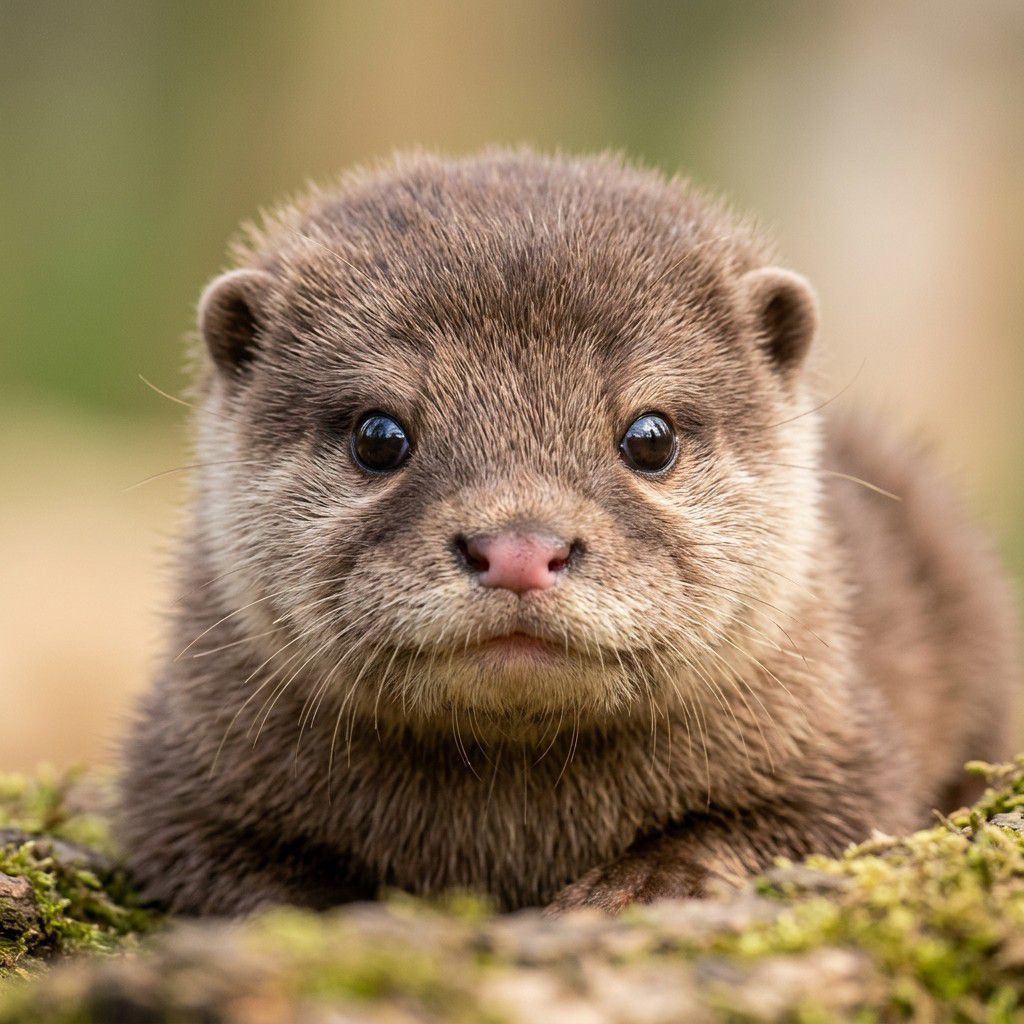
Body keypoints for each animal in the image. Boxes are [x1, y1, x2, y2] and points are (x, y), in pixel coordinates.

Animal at [120, 150, 1018, 915]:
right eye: (379, 436)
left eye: (649, 436)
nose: (518, 549)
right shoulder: (176, 777)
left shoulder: (843, 755)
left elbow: (771, 829)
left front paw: (643, 884)